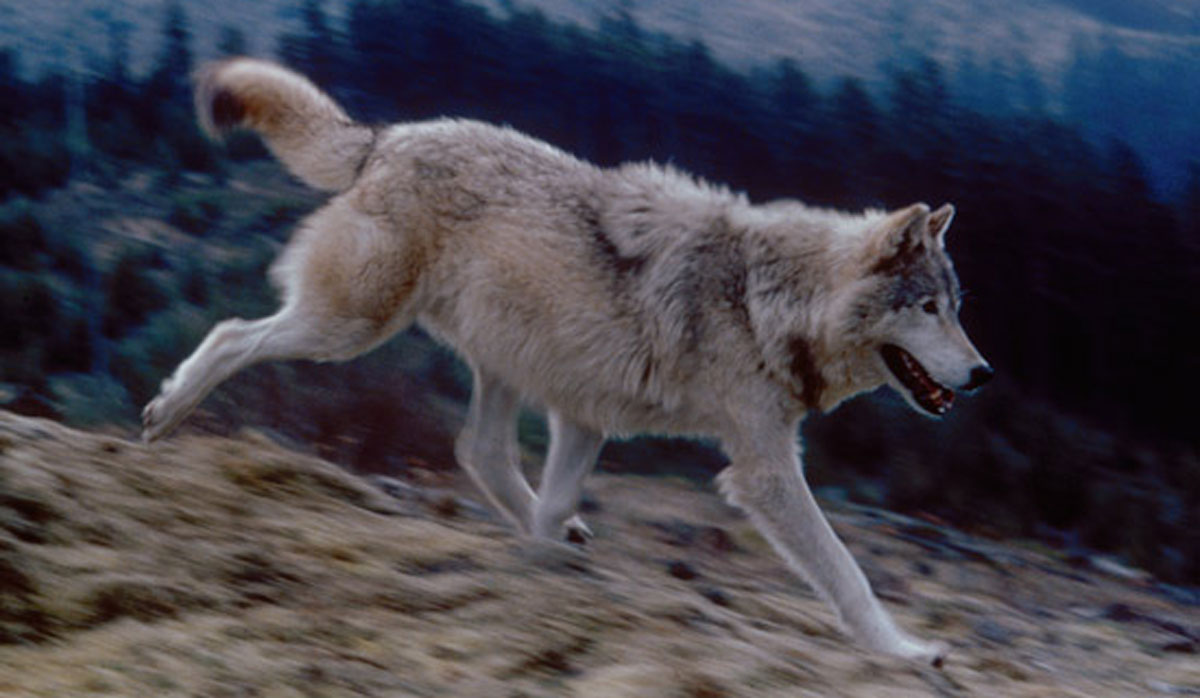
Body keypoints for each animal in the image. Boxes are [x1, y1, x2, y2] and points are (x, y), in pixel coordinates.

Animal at [143, 58, 993, 664]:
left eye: (956, 306)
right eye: (928, 308)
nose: (984, 374)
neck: (765, 296)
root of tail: (387, 137)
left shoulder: (588, 416)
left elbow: (549, 507)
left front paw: (547, 569)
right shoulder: (762, 469)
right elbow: (847, 572)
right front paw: (905, 652)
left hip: (515, 368)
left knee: (478, 450)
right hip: (351, 328)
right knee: (233, 333)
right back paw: (165, 414)